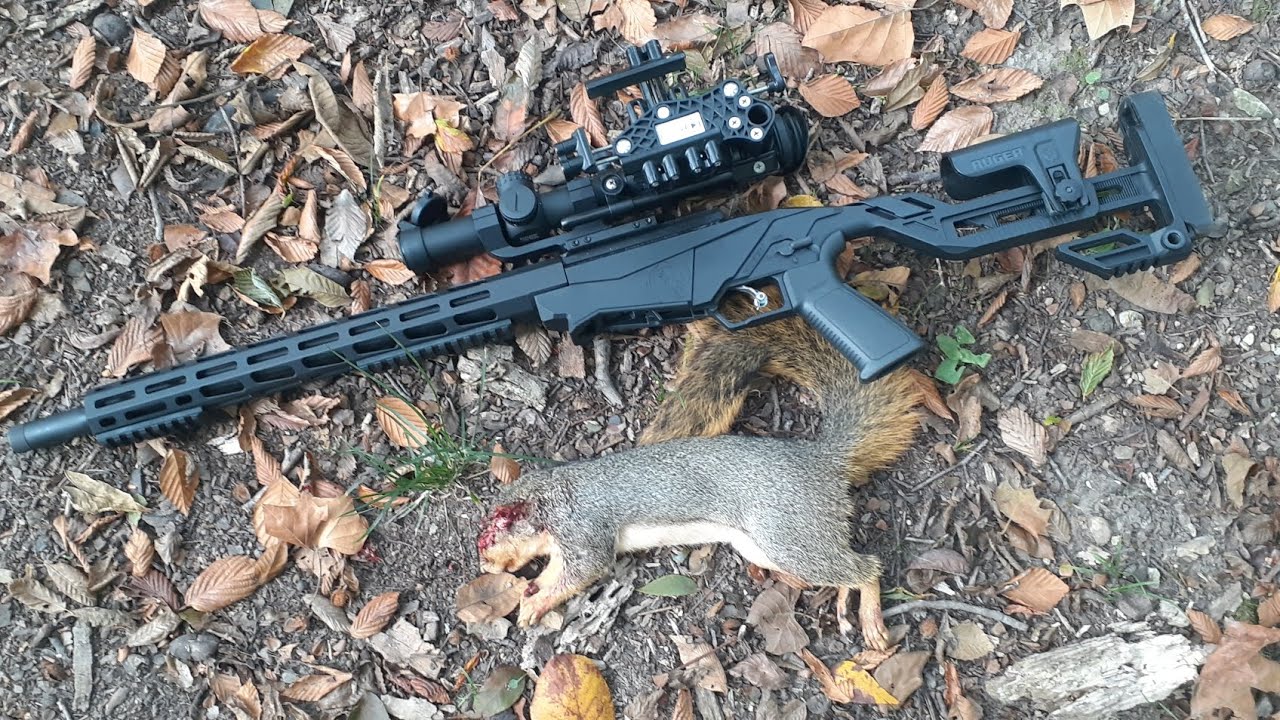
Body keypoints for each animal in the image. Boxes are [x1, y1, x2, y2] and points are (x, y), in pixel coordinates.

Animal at [476, 284, 923, 650]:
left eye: (494, 531)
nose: (483, 563)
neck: (551, 498)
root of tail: (822, 461)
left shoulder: (580, 528)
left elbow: (582, 569)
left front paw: (535, 603)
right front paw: (531, 589)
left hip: (790, 529)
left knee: (866, 568)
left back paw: (870, 619)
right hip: (765, 545)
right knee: (840, 566)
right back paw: (834, 596)